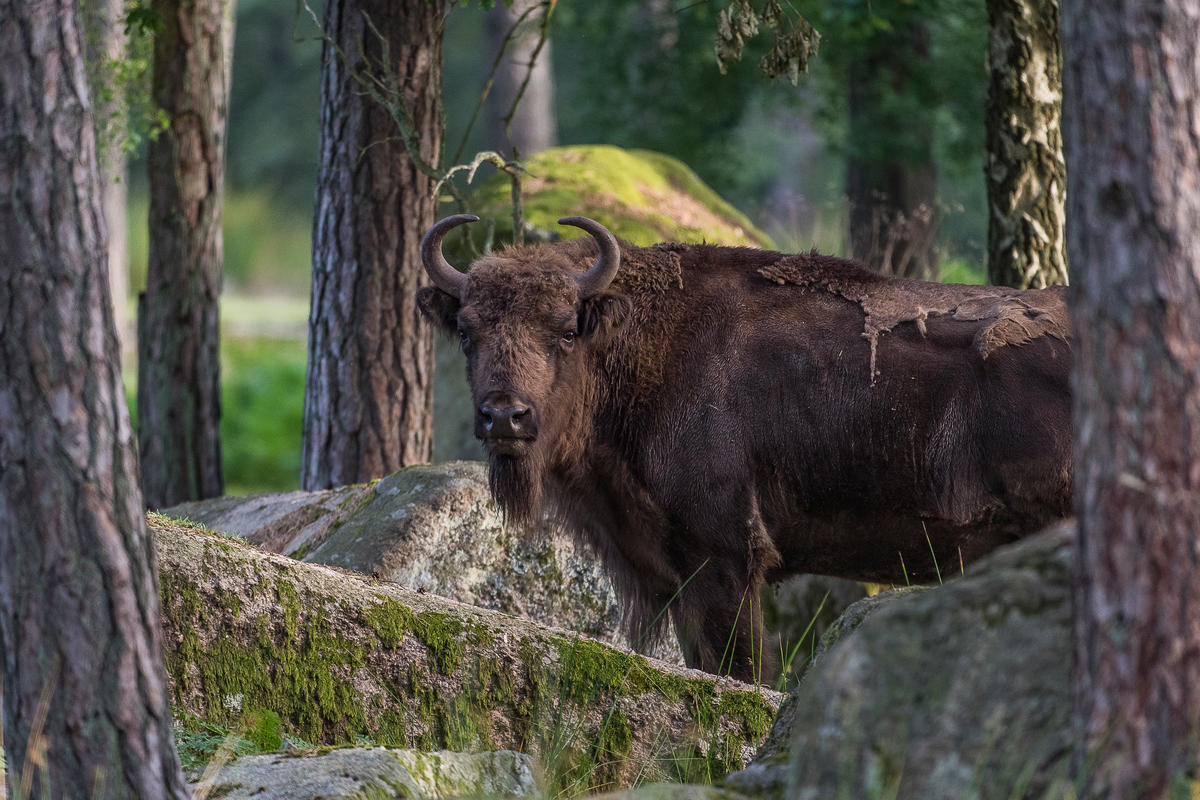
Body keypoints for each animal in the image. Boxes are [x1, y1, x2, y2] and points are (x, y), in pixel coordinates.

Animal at [417, 214, 1072, 681]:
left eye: (566, 331)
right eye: (466, 332)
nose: (505, 416)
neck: (639, 346)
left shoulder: (725, 558)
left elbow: (741, 668)